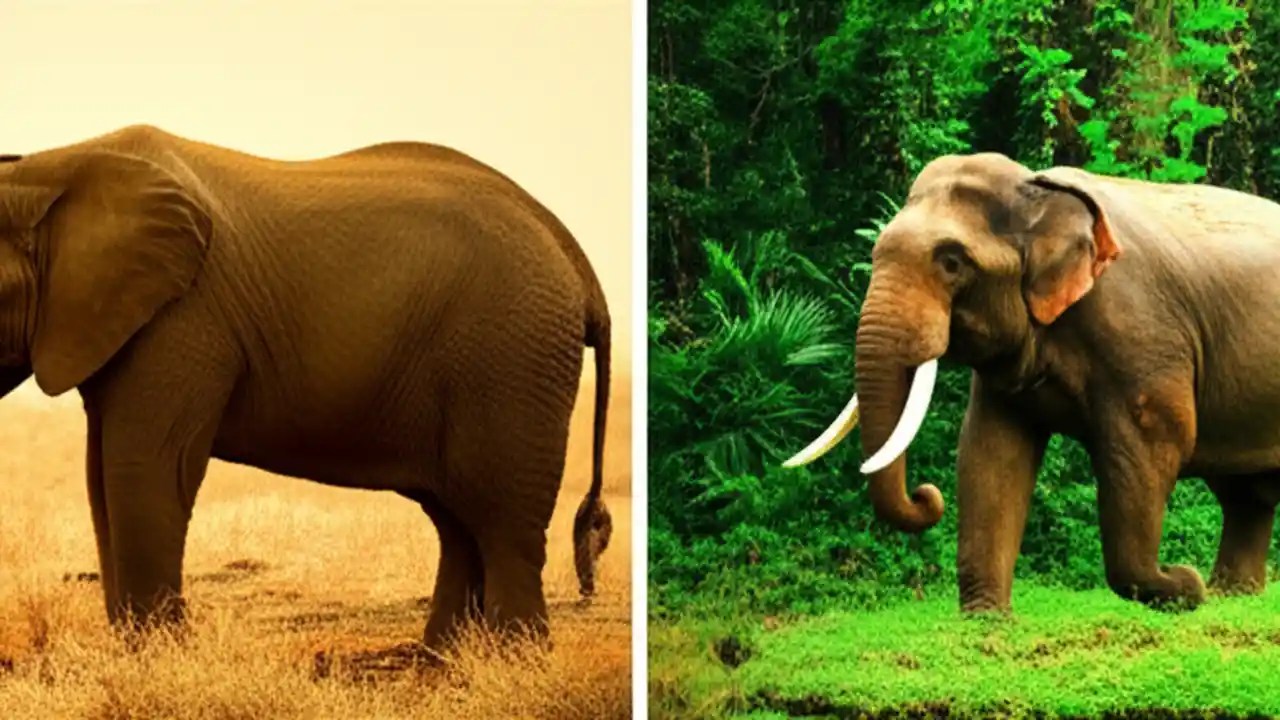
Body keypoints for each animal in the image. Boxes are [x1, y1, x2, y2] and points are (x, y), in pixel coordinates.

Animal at [0, 124, 614, 650]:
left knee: (502, 521)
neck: (47, 168)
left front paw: (156, 655)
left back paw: (512, 658)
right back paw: (444, 658)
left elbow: (144, 467)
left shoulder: (183, 318)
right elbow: (100, 476)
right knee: (457, 518)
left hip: (511, 358)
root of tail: (576, 262)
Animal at [786, 152, 1280, 613]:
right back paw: (1233, 594)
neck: (1038, 190)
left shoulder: (1141, 333)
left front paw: (1183, 589)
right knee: (1245, 492)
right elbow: (991, 449)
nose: (927, 495)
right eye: (875, 254)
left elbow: (1158, 438)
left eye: (951, 263)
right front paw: (986, 622)